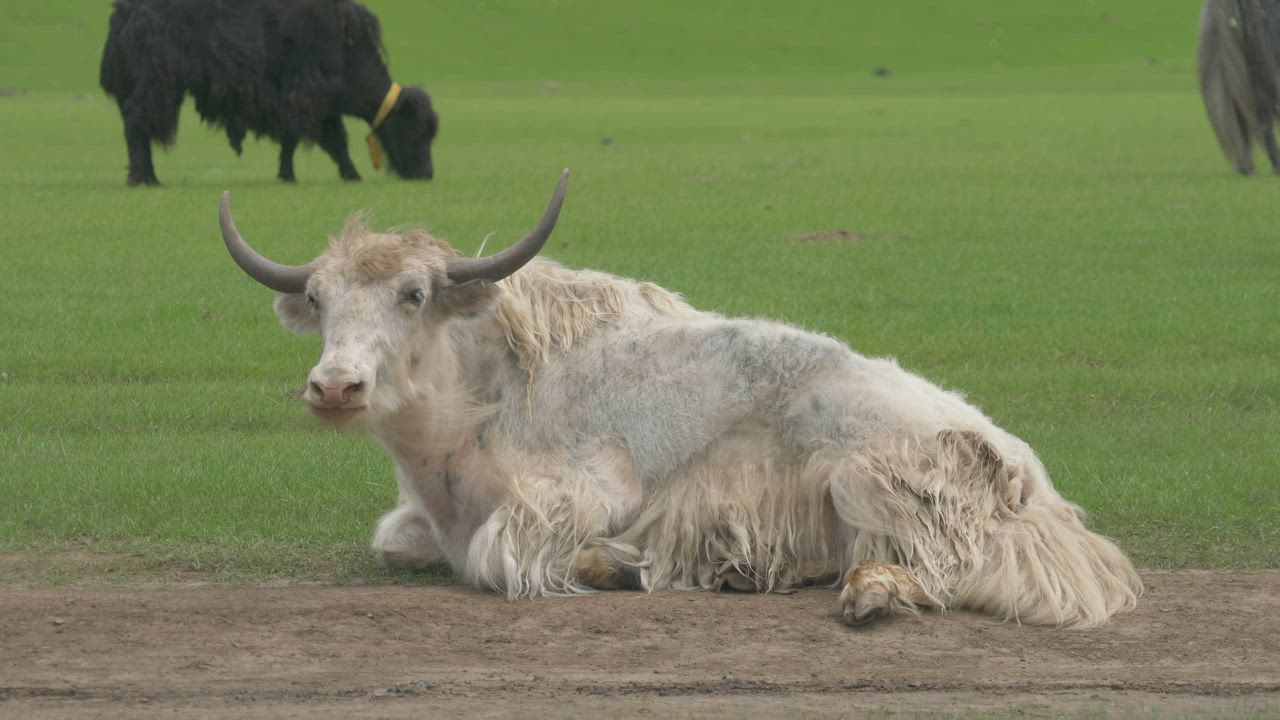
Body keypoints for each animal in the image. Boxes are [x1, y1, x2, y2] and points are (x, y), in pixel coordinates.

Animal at [100, 0, 438, 186]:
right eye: (415, 130)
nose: (426, 173)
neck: (346, 45)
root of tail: (127, 9)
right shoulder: (305, 96)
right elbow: (314, 139)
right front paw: (342, 174)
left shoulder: (320, 105)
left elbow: (327, 140)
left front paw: (343, 174)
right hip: (159, 85)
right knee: (137, 121)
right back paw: (144, 178)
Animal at [218, 170, 1142, 627]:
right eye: (321, 299)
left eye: (413, 294)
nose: (336, 386)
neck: (478, 399)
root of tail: (1027, 476)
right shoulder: (418, 517)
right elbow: (394, 542)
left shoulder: (584, 492)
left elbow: (493, 556)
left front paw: (614, 565)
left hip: (863, 476)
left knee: (939, 570)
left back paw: (865, 595)